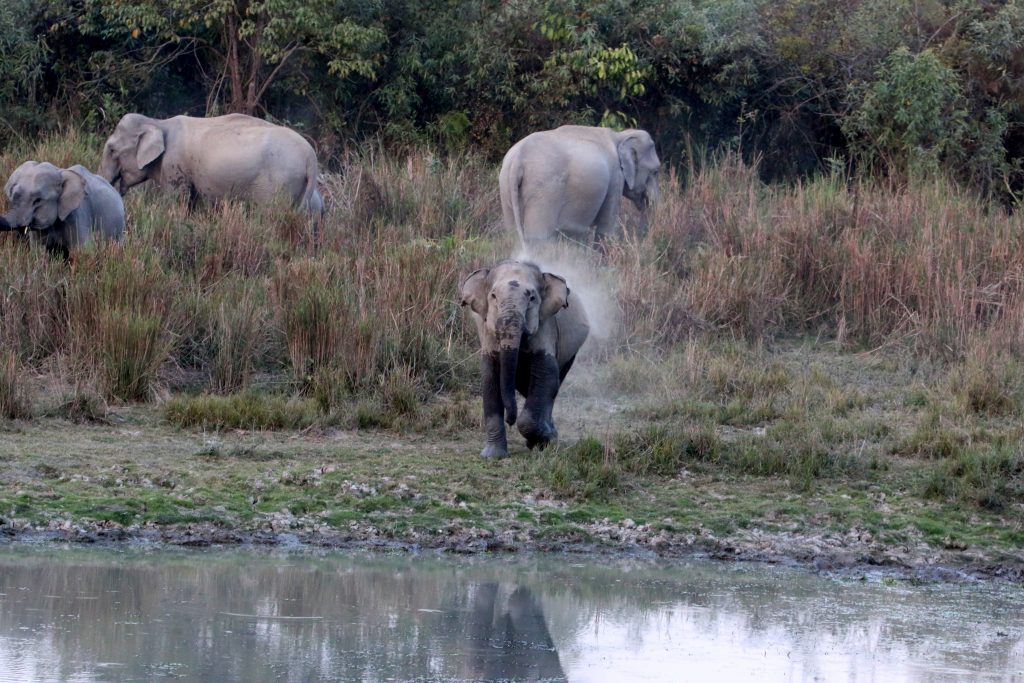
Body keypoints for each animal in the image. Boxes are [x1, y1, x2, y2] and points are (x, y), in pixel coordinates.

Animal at [98, 113, 321, 214]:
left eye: (112, 149)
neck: (158, 122)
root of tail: (311, 156)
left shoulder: (174, 166)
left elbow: (176, 200)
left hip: (278, 184)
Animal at [460, 259, 589, 457]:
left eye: (532, 298)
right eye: (493, 296)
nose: (510, 421)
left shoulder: (546, 327)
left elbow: (547, 375)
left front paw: (544, 440)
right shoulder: (487, 332)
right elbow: (489, 379)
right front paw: (492, 456)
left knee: (553, 386)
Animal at [499, 125, 661, 248]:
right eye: (655, 171)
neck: (620, 136)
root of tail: (518, 159)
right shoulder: (616, 177)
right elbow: (606, 229)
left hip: (506, 187)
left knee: (513, 233)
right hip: (543, 193)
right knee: (538, 237)